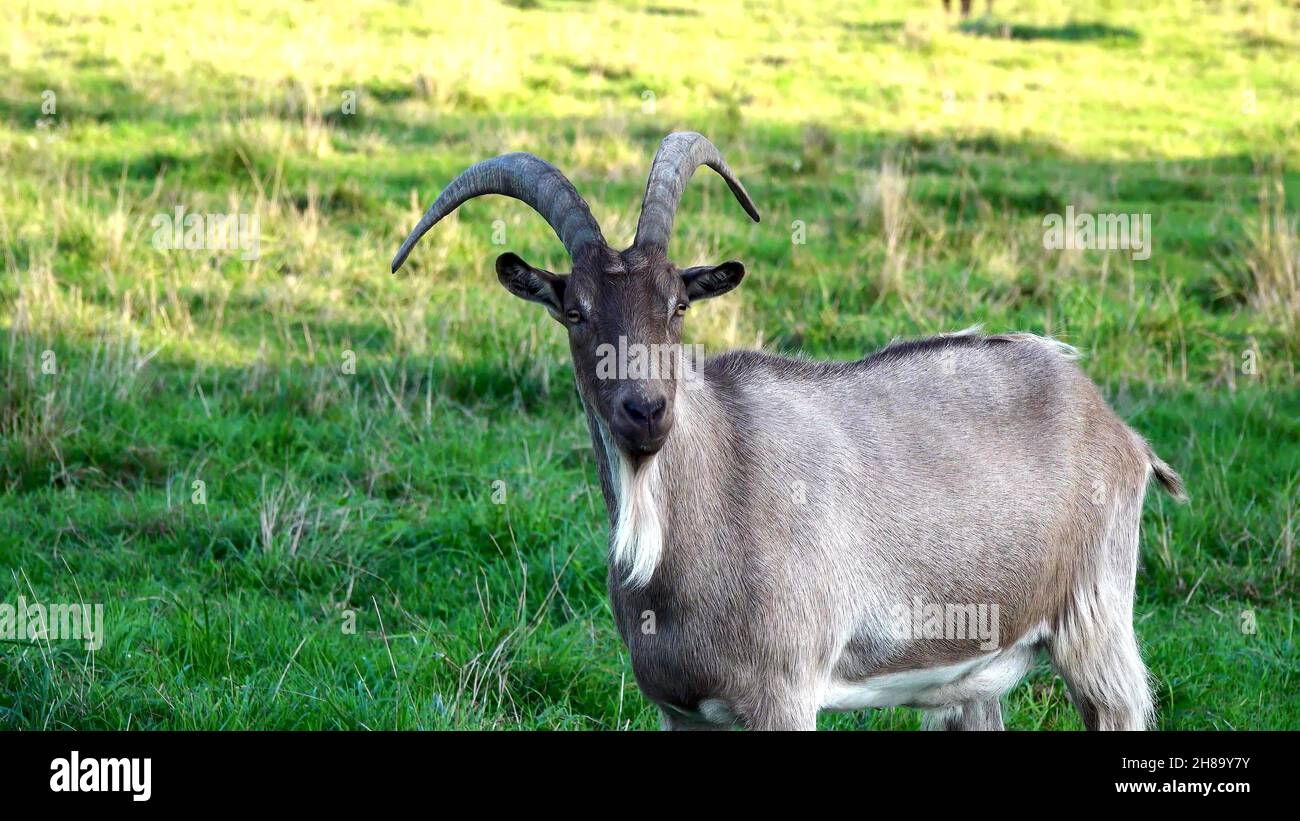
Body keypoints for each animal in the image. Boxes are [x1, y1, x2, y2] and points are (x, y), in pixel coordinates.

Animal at [392, 132, 1186, 730]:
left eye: (678, 304)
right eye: (575, 311)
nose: (646, 412)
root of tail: (1118, 428)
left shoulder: (782, 694)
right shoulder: (682, 711)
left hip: (1097, 622)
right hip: (974, 675)